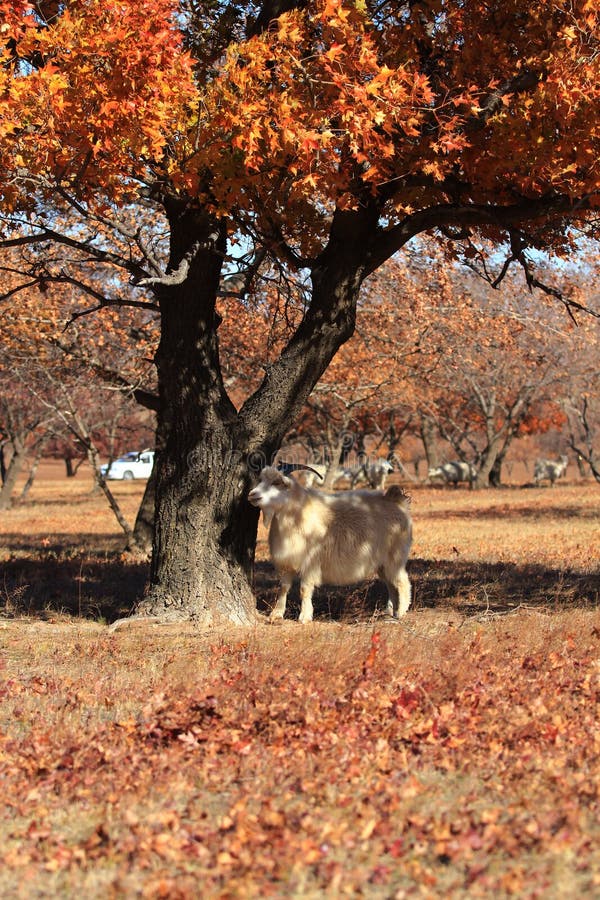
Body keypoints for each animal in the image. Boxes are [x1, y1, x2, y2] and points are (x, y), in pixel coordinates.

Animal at [248, 466, 412, 623]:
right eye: (261, 480)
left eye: (277, 482)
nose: (252, 494)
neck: (298, 513)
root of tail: (397, 501)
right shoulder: (288, 562)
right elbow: (283, 588)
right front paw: (276, 614)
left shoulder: (310, 562)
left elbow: (304, 589)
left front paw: (305, 616)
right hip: (382, 564)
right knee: (391, 585)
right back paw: (390, 612)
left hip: (395, 558)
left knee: (402, 582)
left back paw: (401, 612)